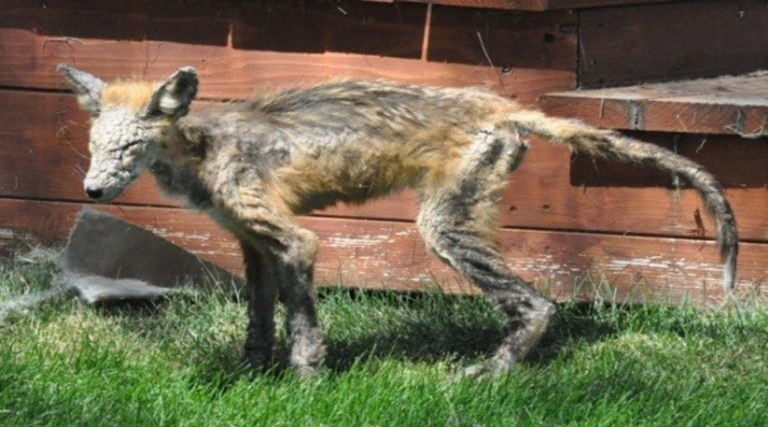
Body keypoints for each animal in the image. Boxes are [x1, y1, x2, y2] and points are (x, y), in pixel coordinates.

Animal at [57, 64, 738, 377]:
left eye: (127, 149)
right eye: (94, 147)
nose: (92, 189)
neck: (202, 151)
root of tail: (496, 103)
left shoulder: (295, 240)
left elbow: (302, 327)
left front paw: (307, 381)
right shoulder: (253, 244)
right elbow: (259, 321)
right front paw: (251, 374)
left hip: (443, 228)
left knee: (540, 304)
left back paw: (492, 373)